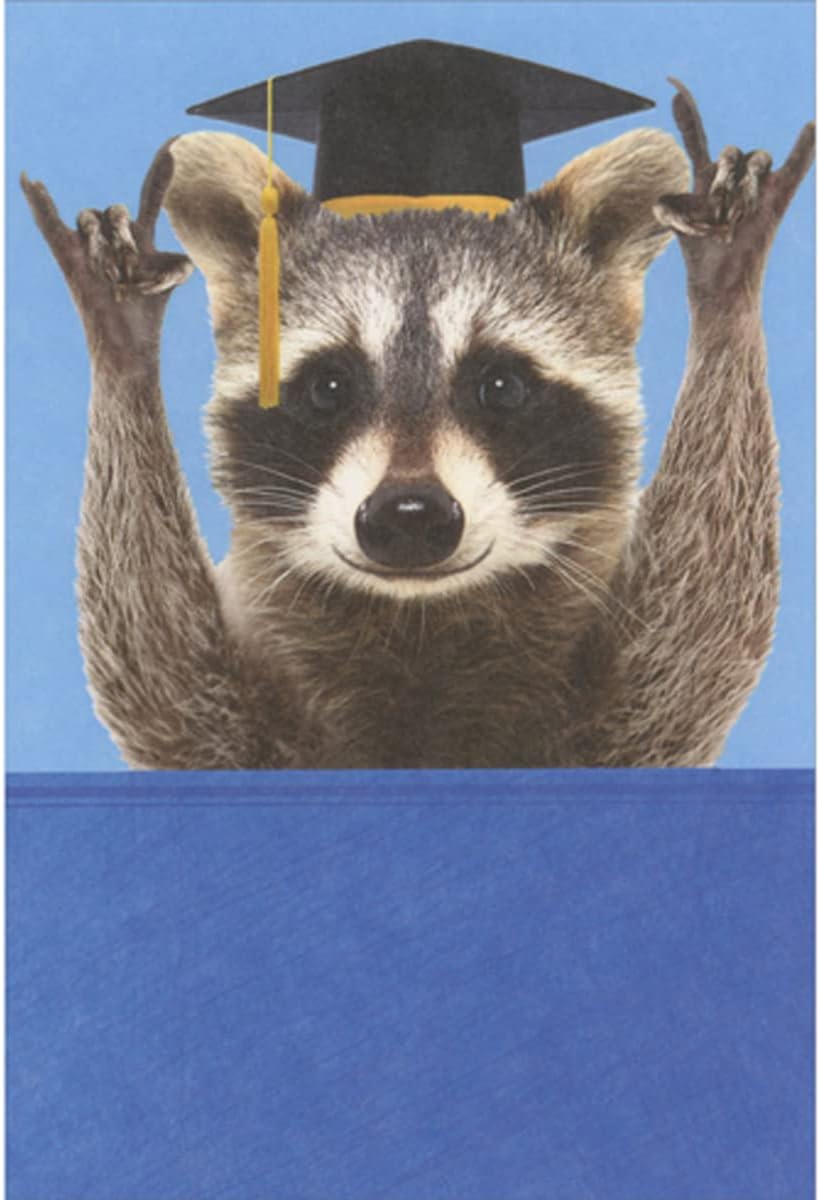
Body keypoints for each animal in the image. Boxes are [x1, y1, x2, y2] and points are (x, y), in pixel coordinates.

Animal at [22, 84, 814, 769]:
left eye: (501, 386)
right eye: (329, 387)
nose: (409, 514)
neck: (419, 619)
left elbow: (686, 653)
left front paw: (726, 280)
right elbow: (168, 692)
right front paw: (122, 339)